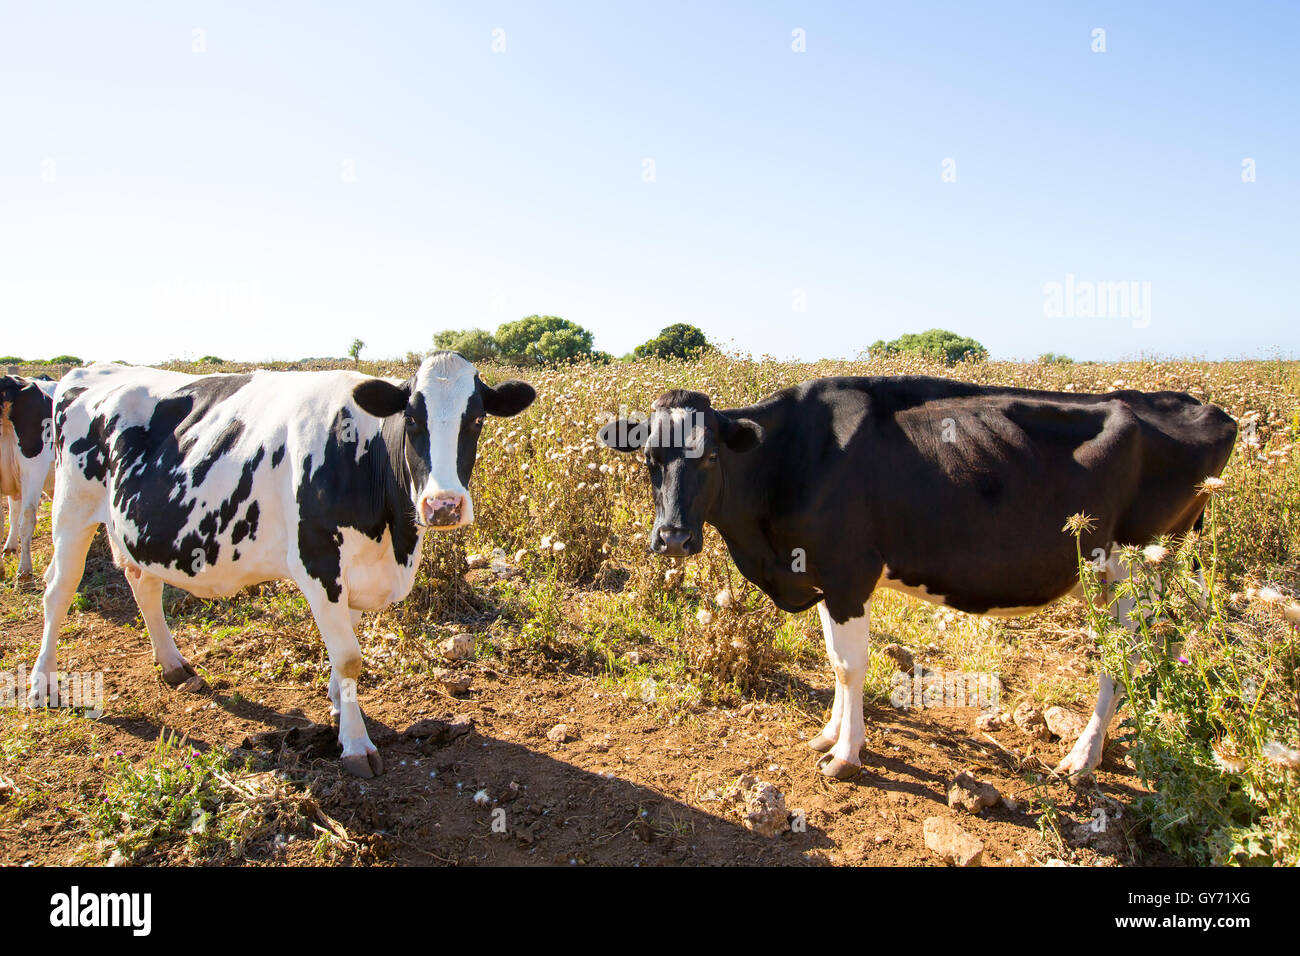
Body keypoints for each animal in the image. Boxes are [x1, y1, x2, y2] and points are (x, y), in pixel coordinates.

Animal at [29, 352, 535, 777]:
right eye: (411, 418)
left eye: (476, 418)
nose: (444, 504)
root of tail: (87, 370)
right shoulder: (318, 561)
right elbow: (350, 657)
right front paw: (355, 745)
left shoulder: (354, 572)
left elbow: (345, 652)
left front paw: (339, 707)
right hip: (72, 509)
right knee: (58, 590)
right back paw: (41, 685)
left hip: (134, 528)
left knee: (143, 583)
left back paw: (173, 666)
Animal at [599, 375, 1237, 779]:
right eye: (649, 460)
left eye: (709, 456)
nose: (673, 538)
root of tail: (1202, 407)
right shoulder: (824, 577)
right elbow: (834, 659)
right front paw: (829, 733)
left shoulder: (849, 573)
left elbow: (850, 666)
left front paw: (847, 754)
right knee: (1160, 645)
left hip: (1137, 565)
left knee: (1126, 656)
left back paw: (1083, 758)